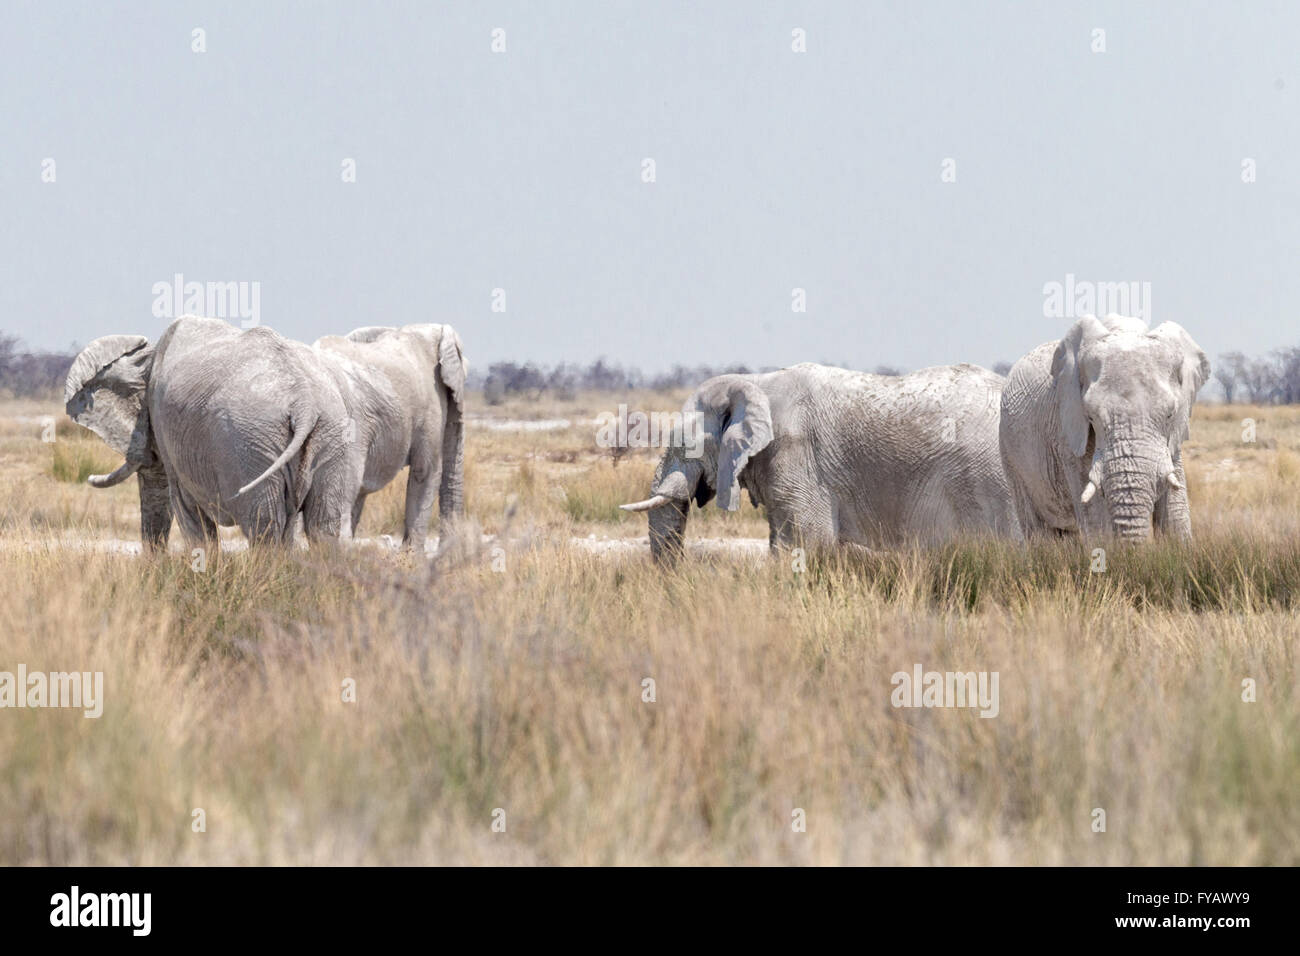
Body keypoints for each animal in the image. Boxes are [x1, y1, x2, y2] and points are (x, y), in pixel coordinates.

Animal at [65, 315, 361, 550]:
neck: (147, 357)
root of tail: (304, 401)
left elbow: (188, 512)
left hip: (251, 445)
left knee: (264, 526)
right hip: (332, 433)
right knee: (324, 527)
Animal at [998, 313, 1209, 541]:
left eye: (1170, 414)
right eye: (1091, 416)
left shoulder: (1173, 438)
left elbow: (1175, 515)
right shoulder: (1068, 434)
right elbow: (1096, 519)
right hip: (1010, 452)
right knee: (1038, 530)